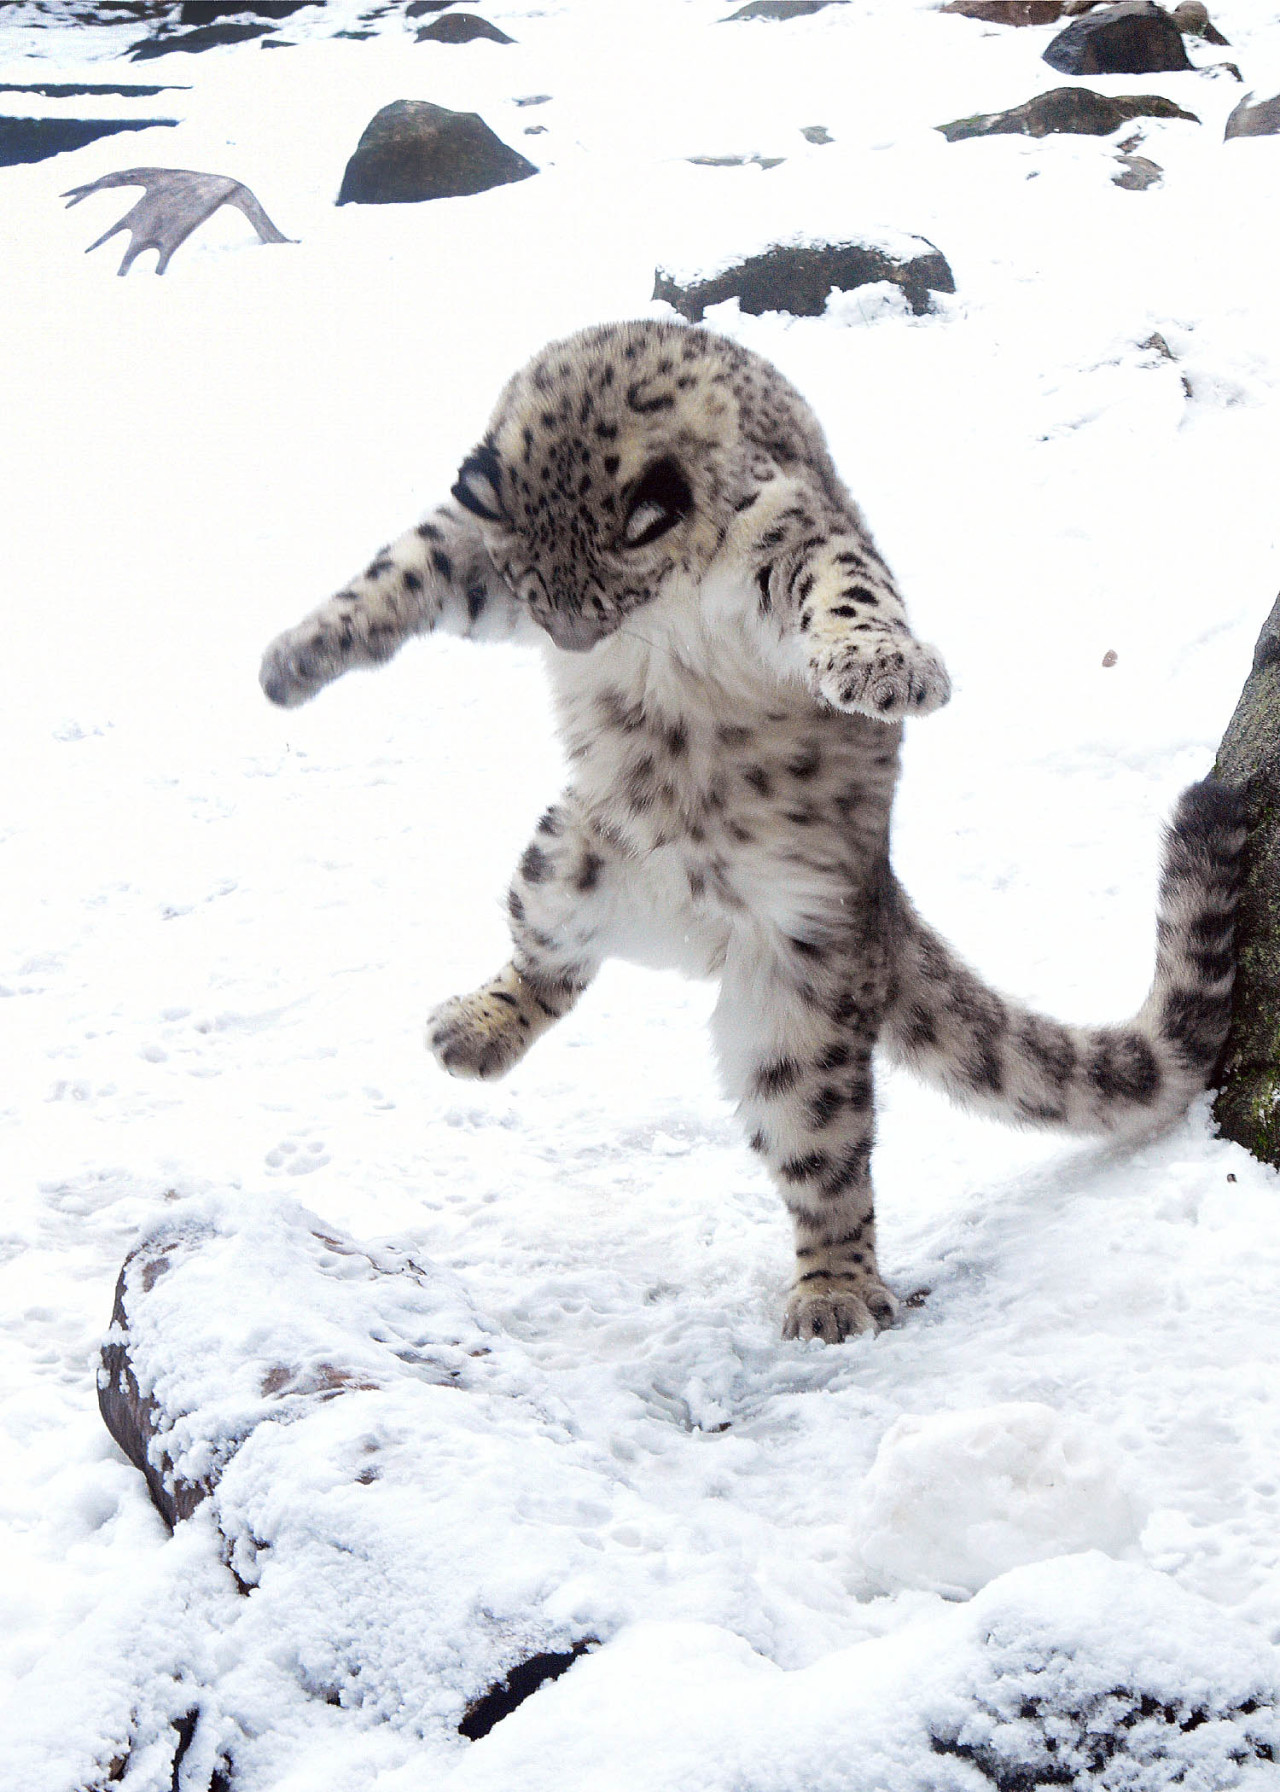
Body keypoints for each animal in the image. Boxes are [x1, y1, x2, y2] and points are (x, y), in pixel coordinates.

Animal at [259, 318, 1245, 1344]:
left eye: (606, 589)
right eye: (535, 589)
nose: (570, 639)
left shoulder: (790, 535)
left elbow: (848, 589)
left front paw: (887, 667)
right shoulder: (470, 555)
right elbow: (405, 564)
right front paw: (295, 657)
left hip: (801, 1011)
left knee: (829, 1161)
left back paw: (836, 1293)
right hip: (563, 858)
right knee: (551, 962)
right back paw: (475, 1030)